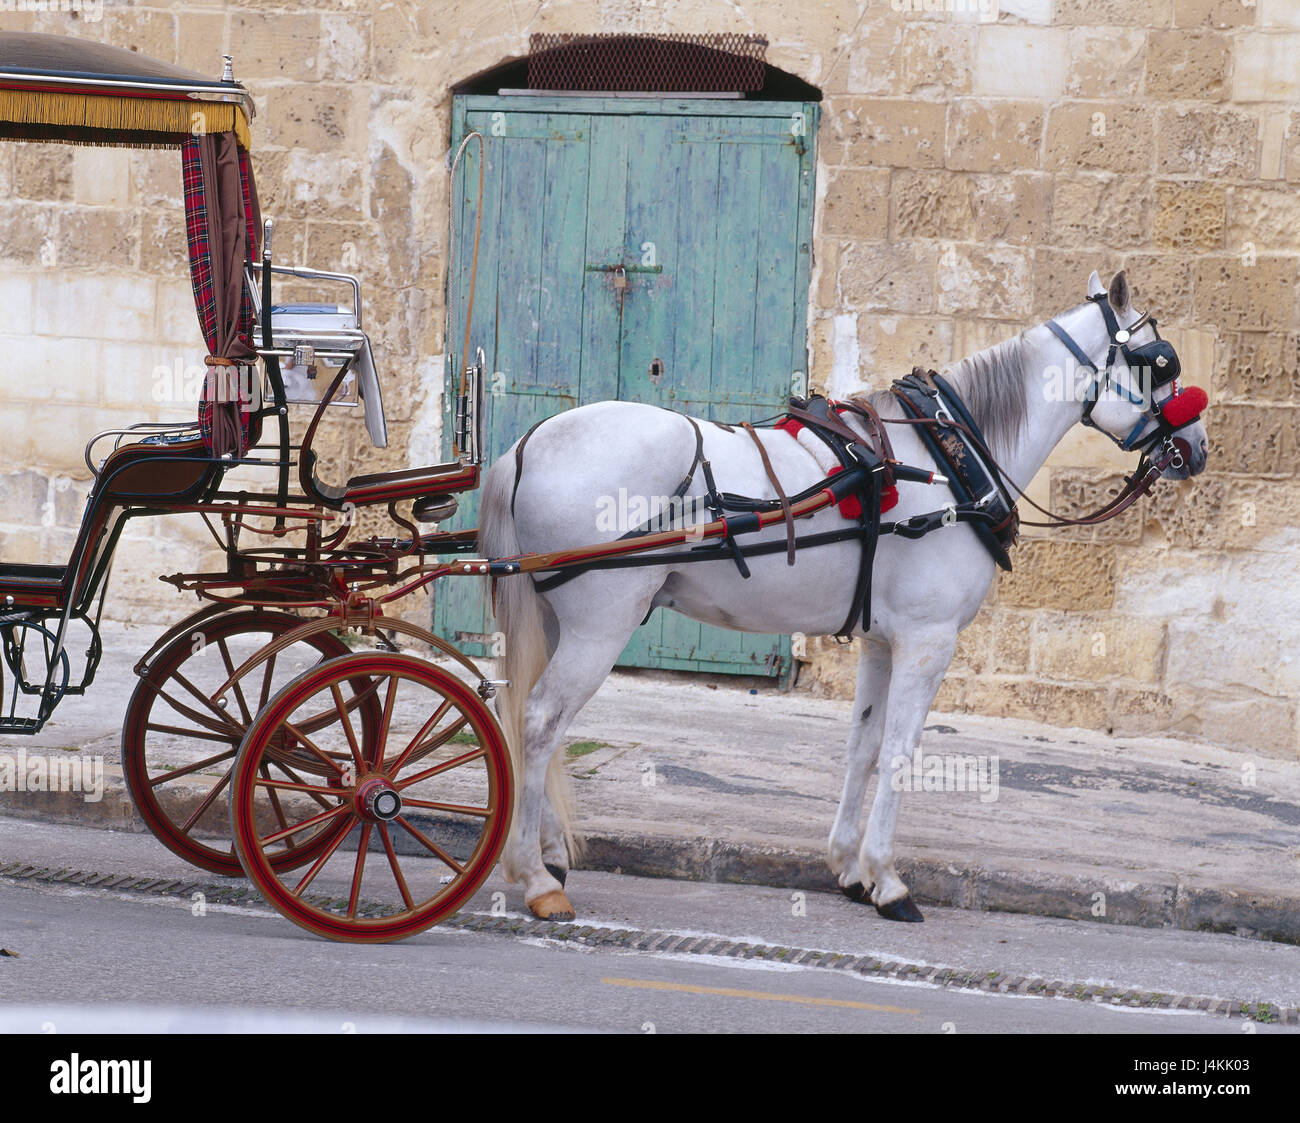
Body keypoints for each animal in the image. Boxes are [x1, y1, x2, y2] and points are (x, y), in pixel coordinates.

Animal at [478, 270, 1209, 923]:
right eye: (1160, 363)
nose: (1197, 447)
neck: (948, 457)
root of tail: (526, 447)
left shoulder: (883, 640)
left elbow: (863, 746)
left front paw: (849, 868)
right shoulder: (927, 641)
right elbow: (901, 752)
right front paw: (888, 880)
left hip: (559, 618)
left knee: (546, 724)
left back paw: (550, 856)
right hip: (601, 623)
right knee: (540, 720)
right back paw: (535, 877)